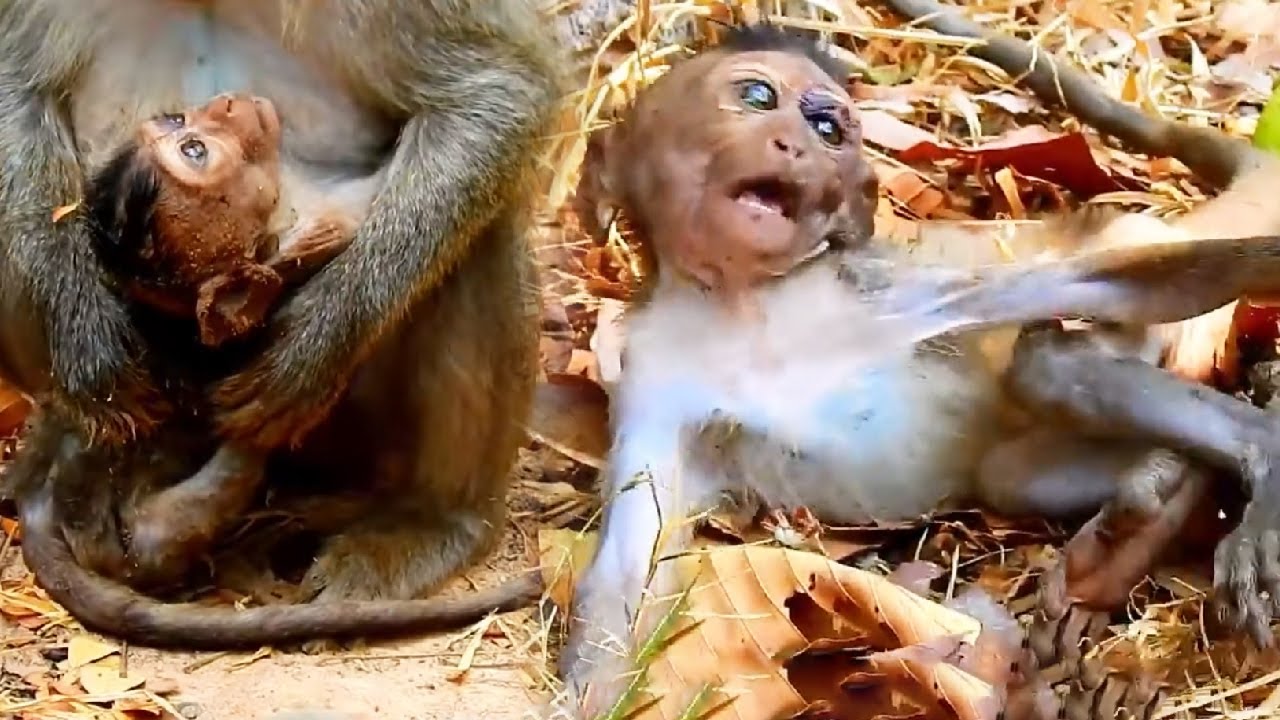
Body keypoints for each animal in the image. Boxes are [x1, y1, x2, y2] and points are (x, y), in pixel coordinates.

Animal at [0, 0, 567, 646]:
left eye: (182, 126)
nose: (227, 106)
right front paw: (81, 335)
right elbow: (18, 83)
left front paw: (318, 344)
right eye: (194, 148)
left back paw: (437, 518)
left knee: (482, 233)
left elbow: (497, 86)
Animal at [553, 23, 1280, 718]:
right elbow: (626, 577)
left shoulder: (875, 286)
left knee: (1048, 357)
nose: (809, 139)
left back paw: (1249, 455)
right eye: (758, 96)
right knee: (1019, 450)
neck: (745, 305)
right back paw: (1146, 507)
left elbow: (1109, 286)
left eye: (830, 130)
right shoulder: (650, 375)